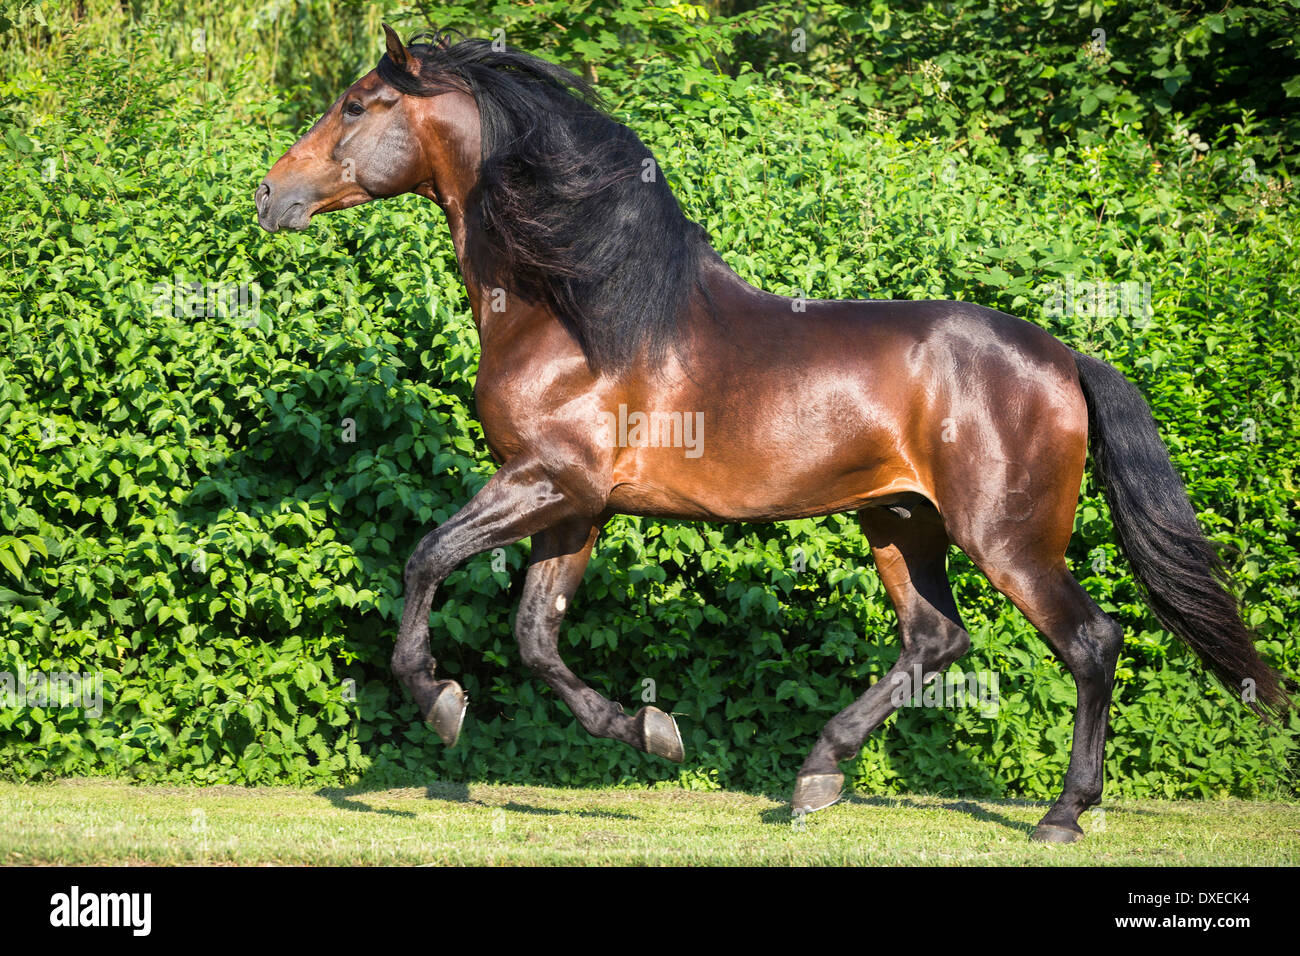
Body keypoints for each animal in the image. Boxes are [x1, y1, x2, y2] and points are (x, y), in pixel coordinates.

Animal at [255, 26, 1288, 842]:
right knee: (935, 639)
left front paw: (438, 702)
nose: (269, 197)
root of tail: (1064, 356)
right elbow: (537, 636)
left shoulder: (547, 479)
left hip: (1007, 539)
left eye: (358, 104)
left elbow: (428, 558)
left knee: (1090, 642)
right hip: (899, 521)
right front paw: (649, 733)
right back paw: (816, 776)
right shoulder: (576, 503)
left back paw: (1061, 815)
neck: (575, 309)